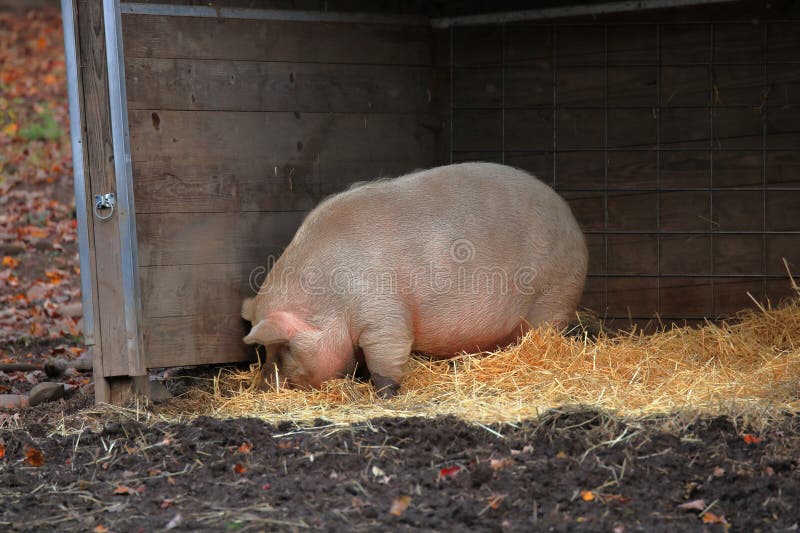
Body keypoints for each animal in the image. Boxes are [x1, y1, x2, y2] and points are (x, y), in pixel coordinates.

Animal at [242, 162, 588, 398]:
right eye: (264, 352)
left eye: (285, 348)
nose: (262, 387)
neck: (330, 299)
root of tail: (573, 223)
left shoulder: (384, 315)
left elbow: (386, 356)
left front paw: (384, 396)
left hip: (555, 291)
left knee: (545, 329)